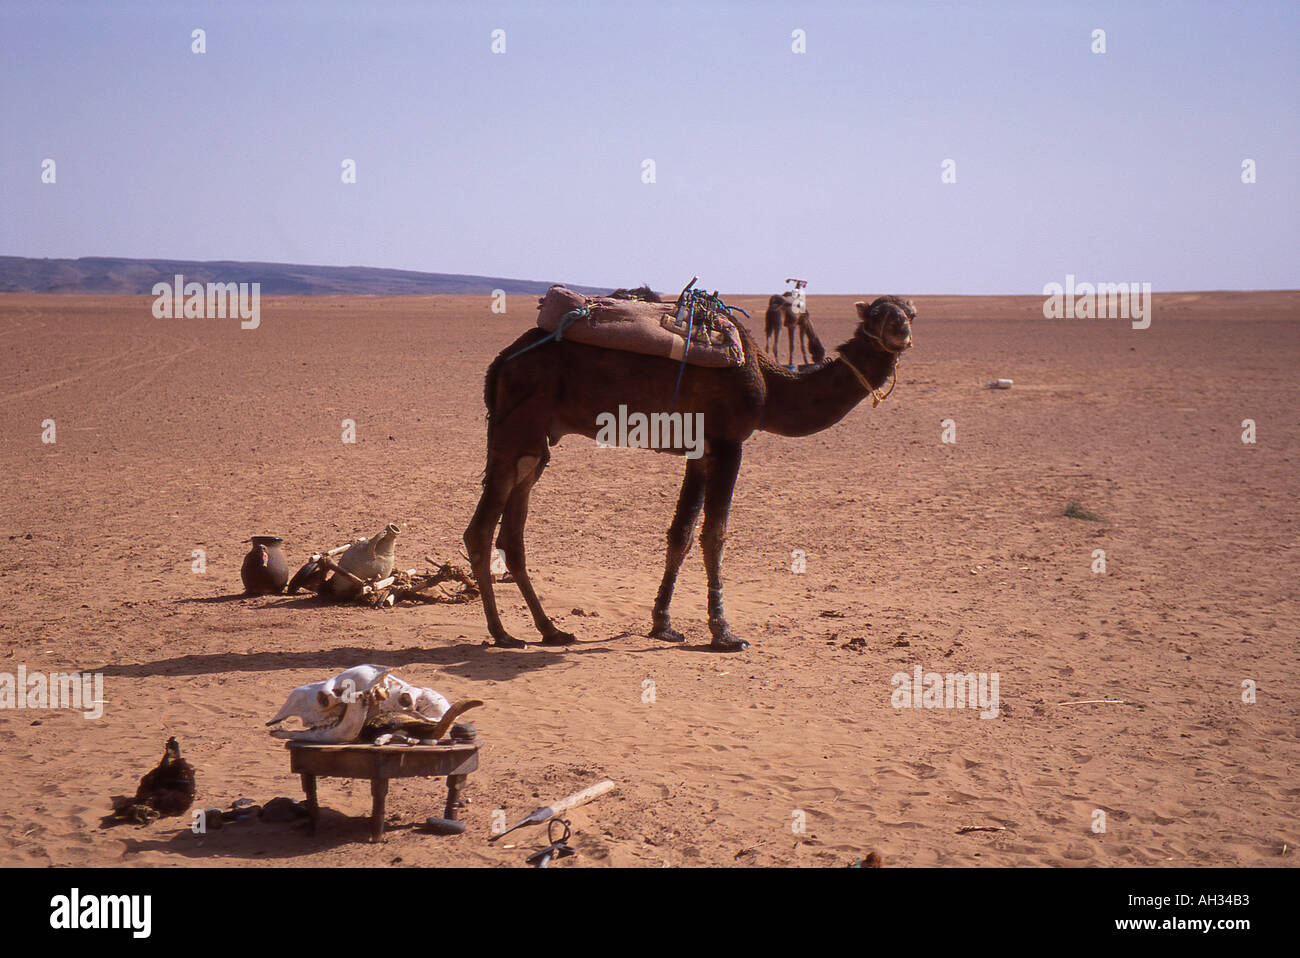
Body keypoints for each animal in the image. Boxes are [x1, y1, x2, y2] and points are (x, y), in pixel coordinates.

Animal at [464, 295, 915, 651]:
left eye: (910, 310)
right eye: (878, 313)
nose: (902, 331)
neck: (770, 383)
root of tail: (501, 360)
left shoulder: (700, 450)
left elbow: (680, 532)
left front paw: (662, 625)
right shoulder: (729, 441)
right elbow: (715, 535)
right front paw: (724, 634)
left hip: (536, 439)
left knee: (512, 527)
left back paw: (551, 630)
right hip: (516, 426)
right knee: (481, 530)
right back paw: (503, 634)